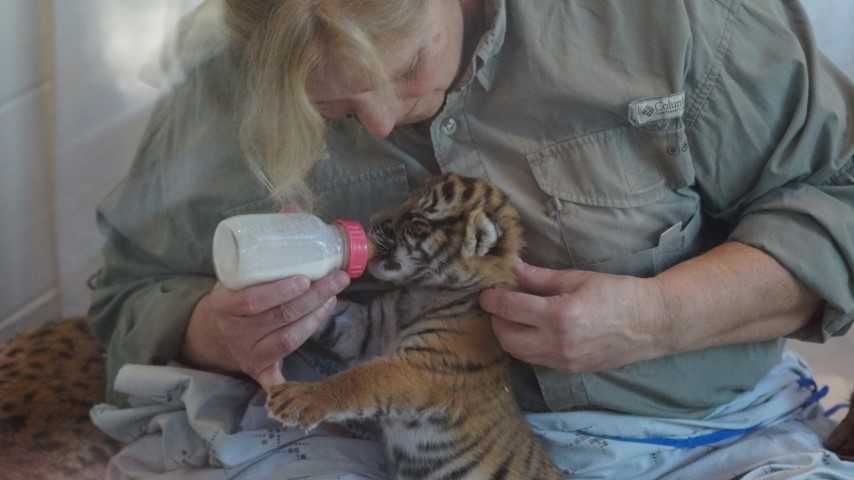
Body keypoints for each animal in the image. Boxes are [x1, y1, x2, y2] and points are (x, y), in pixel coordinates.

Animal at [266, 173, 565, 479]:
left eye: (416, 223)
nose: (371, 220)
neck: (422, 292)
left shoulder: (421, 366)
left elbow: (359, 379)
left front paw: (300, 397)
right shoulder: (366, 329)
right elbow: (333, 319)